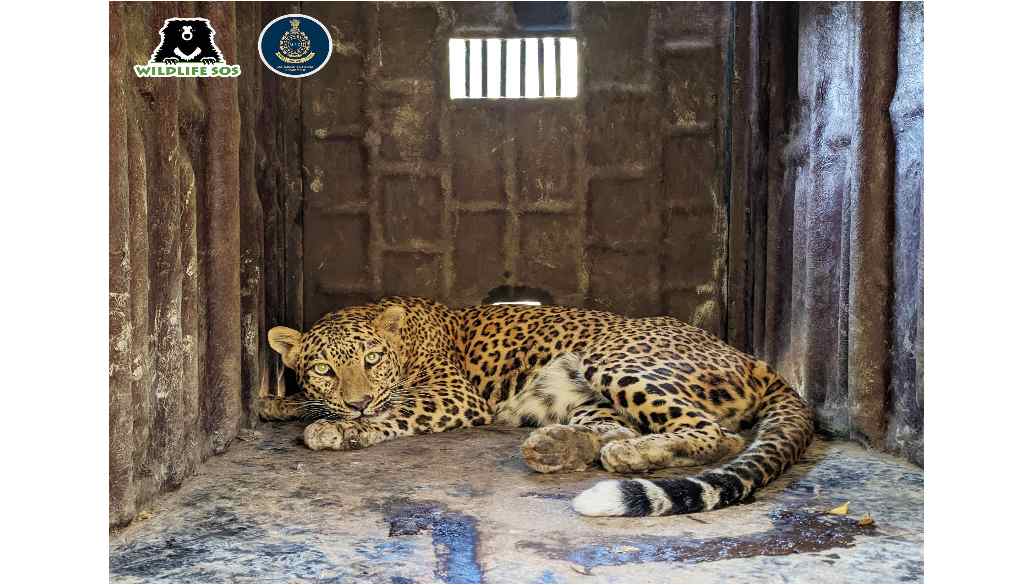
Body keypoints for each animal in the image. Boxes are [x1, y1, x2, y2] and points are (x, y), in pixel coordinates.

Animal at [263, 296, 815, 517]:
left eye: (373, 360)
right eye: (323, 369)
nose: (356, 402)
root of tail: (753, 358)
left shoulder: (453, 395)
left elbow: (396, 410)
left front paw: (342, 429)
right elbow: (307, 401)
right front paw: (280, 404)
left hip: (613, 359)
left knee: (718, 435)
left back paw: (630, 457)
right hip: (584, 394)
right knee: (616, 429)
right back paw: (555, 448)